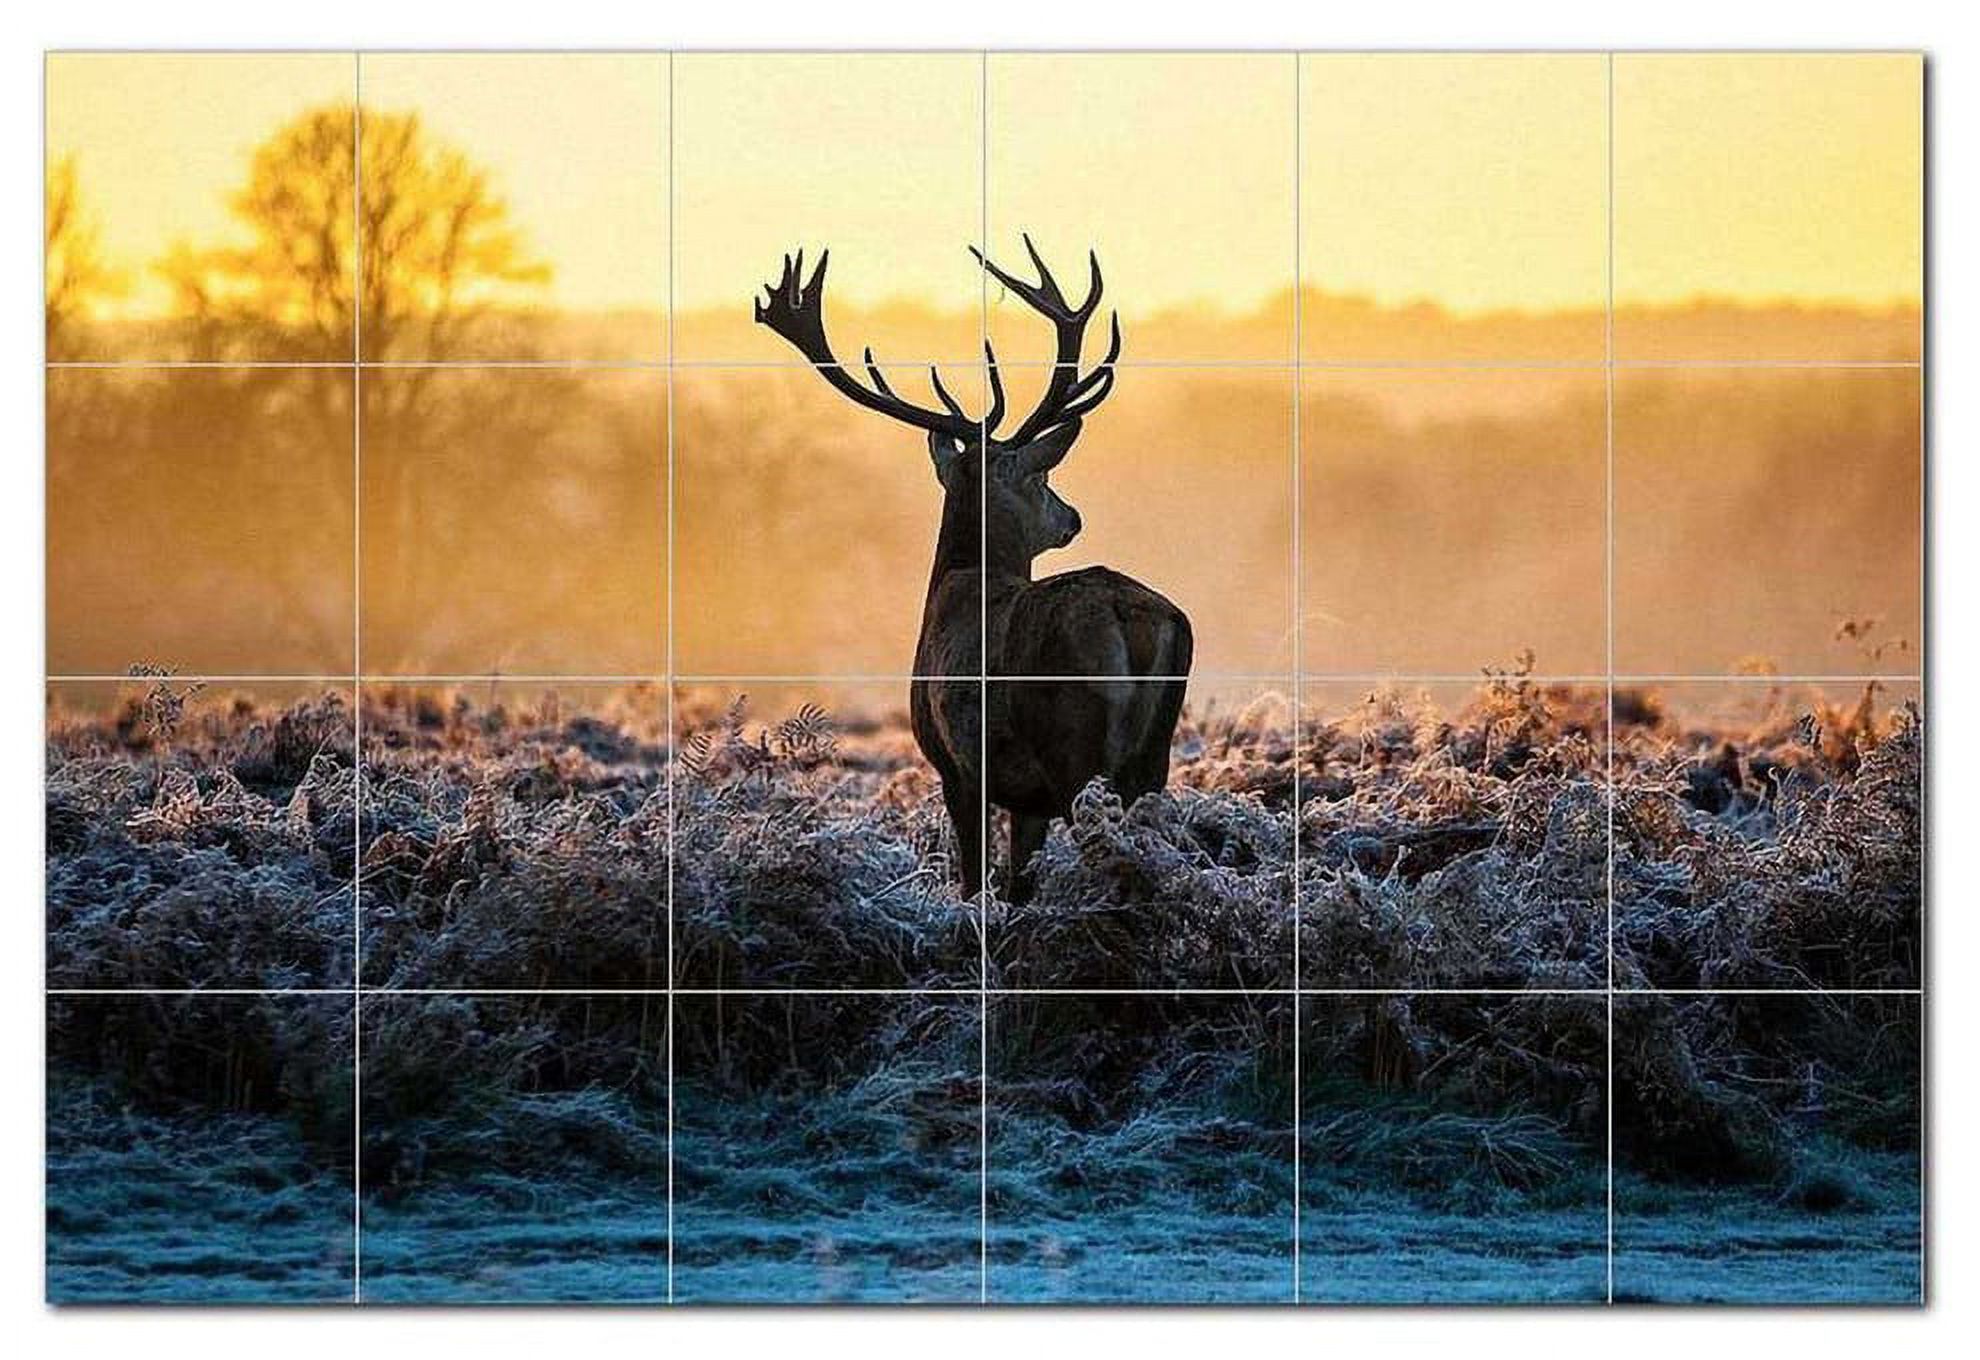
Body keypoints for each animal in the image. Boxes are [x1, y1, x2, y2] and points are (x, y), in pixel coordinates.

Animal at [755, 238, 1193, 905]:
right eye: (1042, 477)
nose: (1072, 517)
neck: (956, 581)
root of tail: (1129, 617)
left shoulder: (956, 766)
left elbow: (971, 879)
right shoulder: (1024, 797)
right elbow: (1017, 882)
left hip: (1073, 745)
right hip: (1153, 756)